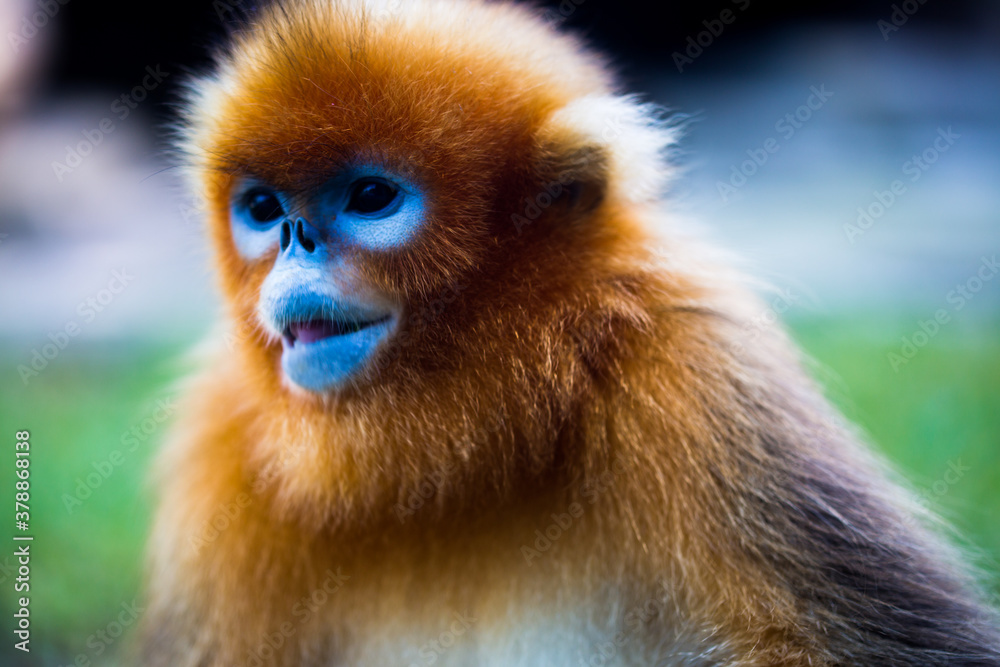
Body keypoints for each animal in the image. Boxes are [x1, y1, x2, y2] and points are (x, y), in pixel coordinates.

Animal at [137, 0, 1000, 665]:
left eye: (371, 197)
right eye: (261, 207)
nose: (295, 240)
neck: (465, 451)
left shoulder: (696, 370)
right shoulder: (221, 443)